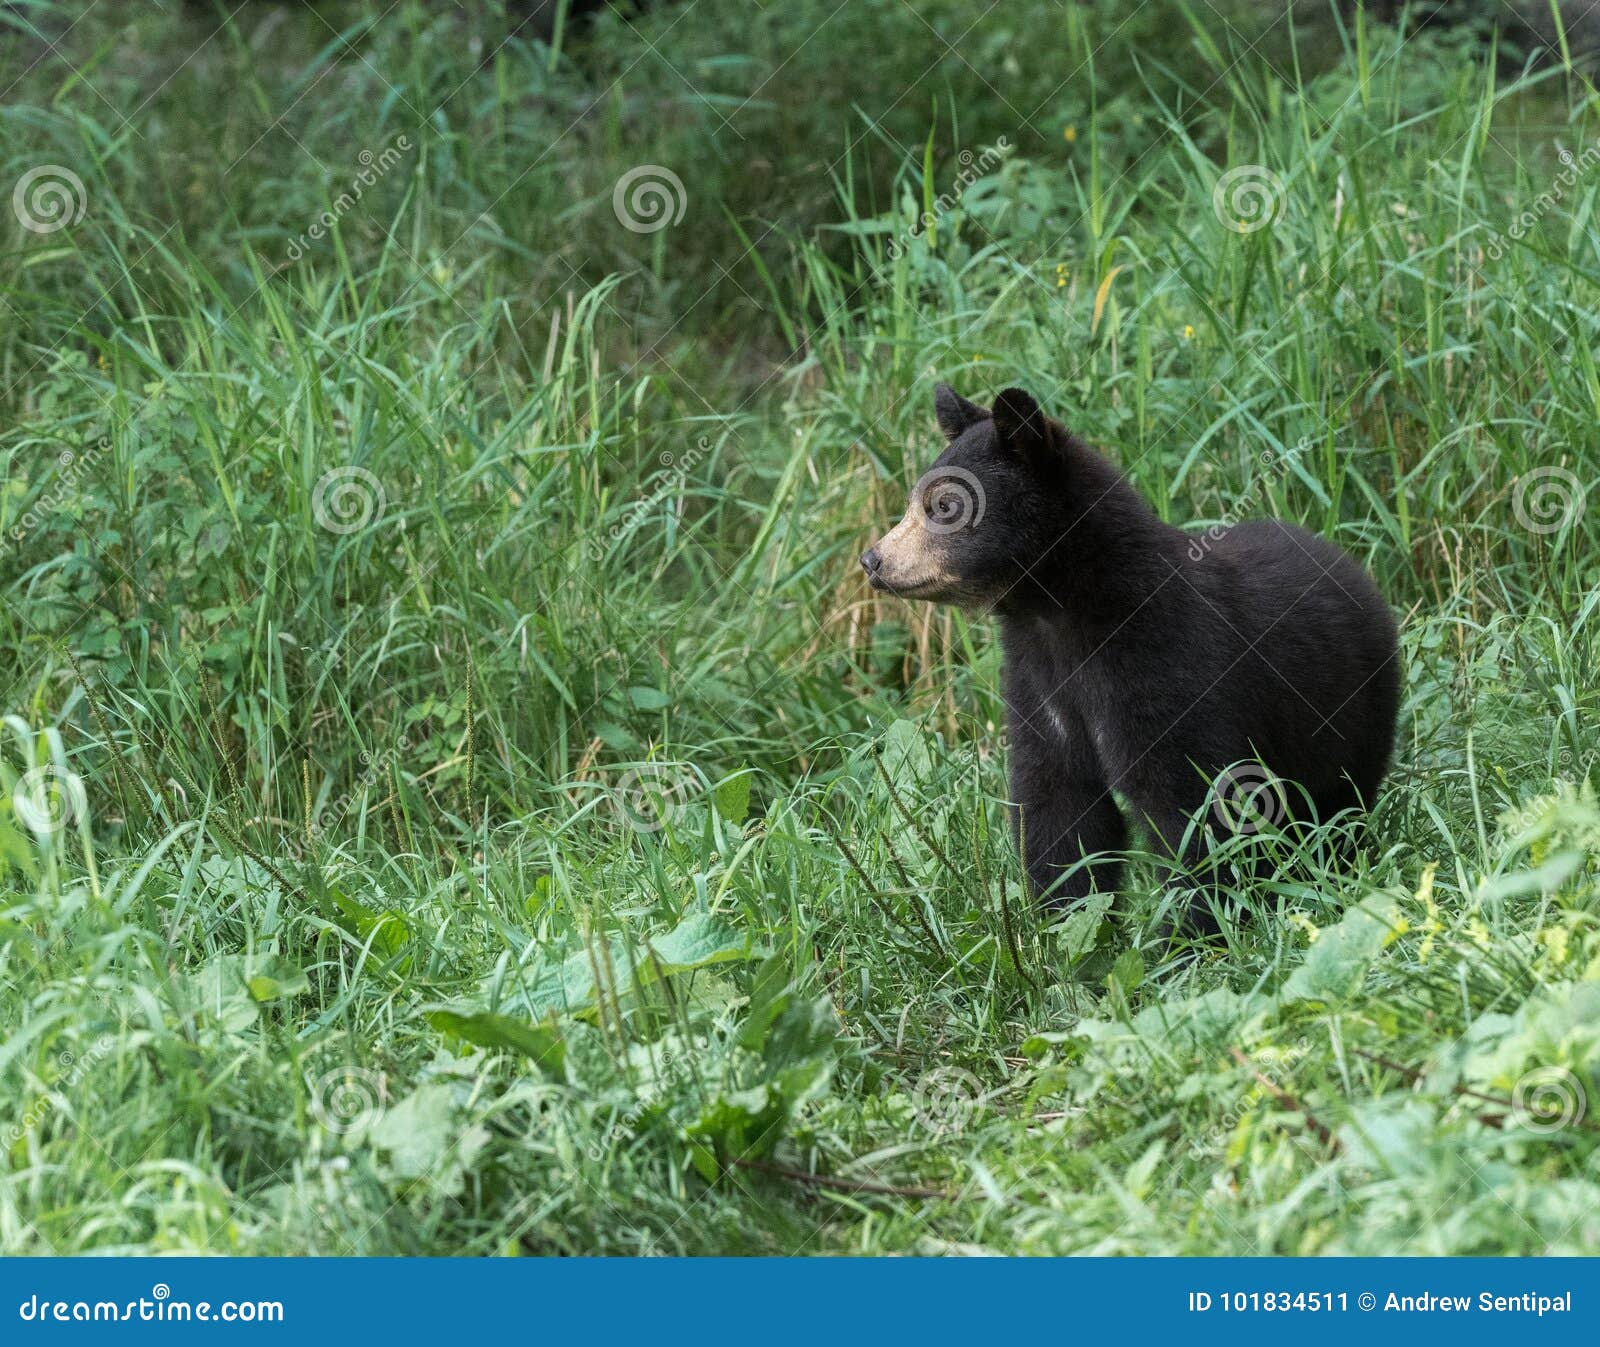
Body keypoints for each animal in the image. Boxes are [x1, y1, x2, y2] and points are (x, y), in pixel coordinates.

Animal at [860, 384, 1400, 927]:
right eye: (913, 503)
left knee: (1335, 803)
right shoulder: (1039, 685)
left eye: (945, 506)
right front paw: (1065, 923)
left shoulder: (1167, 664)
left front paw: (1193, 931)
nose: (873, 560)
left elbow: (1193, 807)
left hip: (1348, 711)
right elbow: (1059, 807)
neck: (1060, 614)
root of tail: (1352, 565)